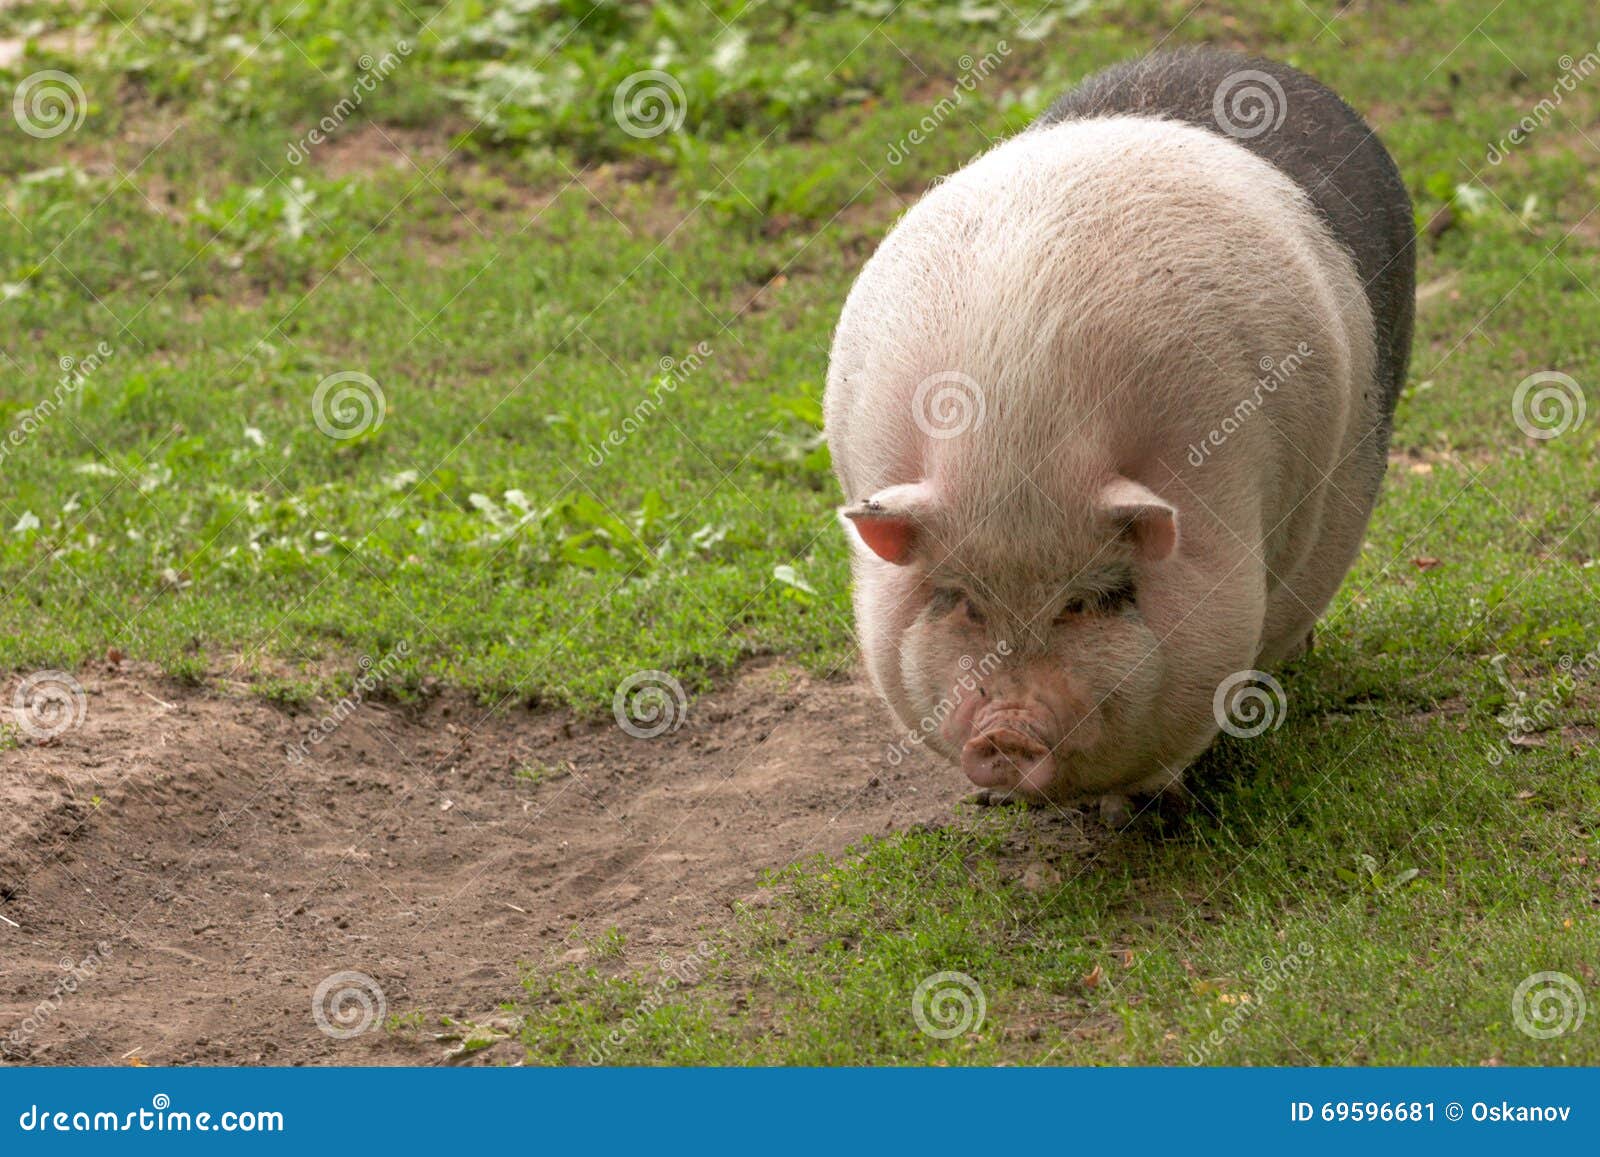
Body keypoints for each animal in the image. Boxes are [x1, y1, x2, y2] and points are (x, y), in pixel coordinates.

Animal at [824, 49, 1414, 816]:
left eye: (1091, 600)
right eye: (961, 601)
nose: (1007, 733)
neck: (1018, 427)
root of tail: (1237, 58)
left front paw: (1148, 810)